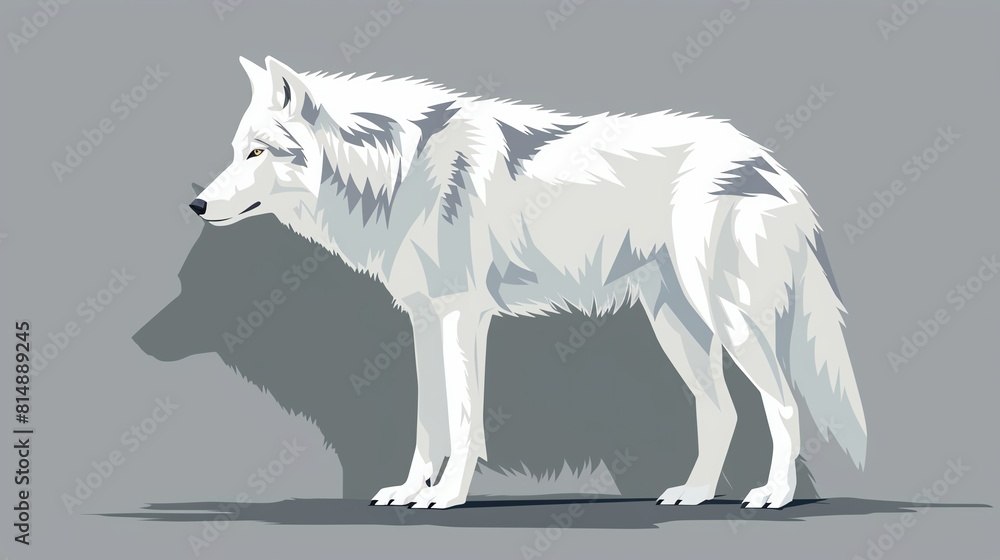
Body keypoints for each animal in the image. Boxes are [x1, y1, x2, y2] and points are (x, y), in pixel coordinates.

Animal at [190, 56, 867, 509]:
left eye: (257, 152)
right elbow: (426, 420)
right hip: (678, 327)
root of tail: (767, 157)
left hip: (730, 319)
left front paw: (446, 497)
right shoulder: (424, 320)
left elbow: (464, 418)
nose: (195, 205)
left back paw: (774, 494)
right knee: (722, 410)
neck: (398, 171)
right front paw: (410, 489)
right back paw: (695, 492)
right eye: (235, 150)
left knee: (782, 402)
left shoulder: (463, 316)